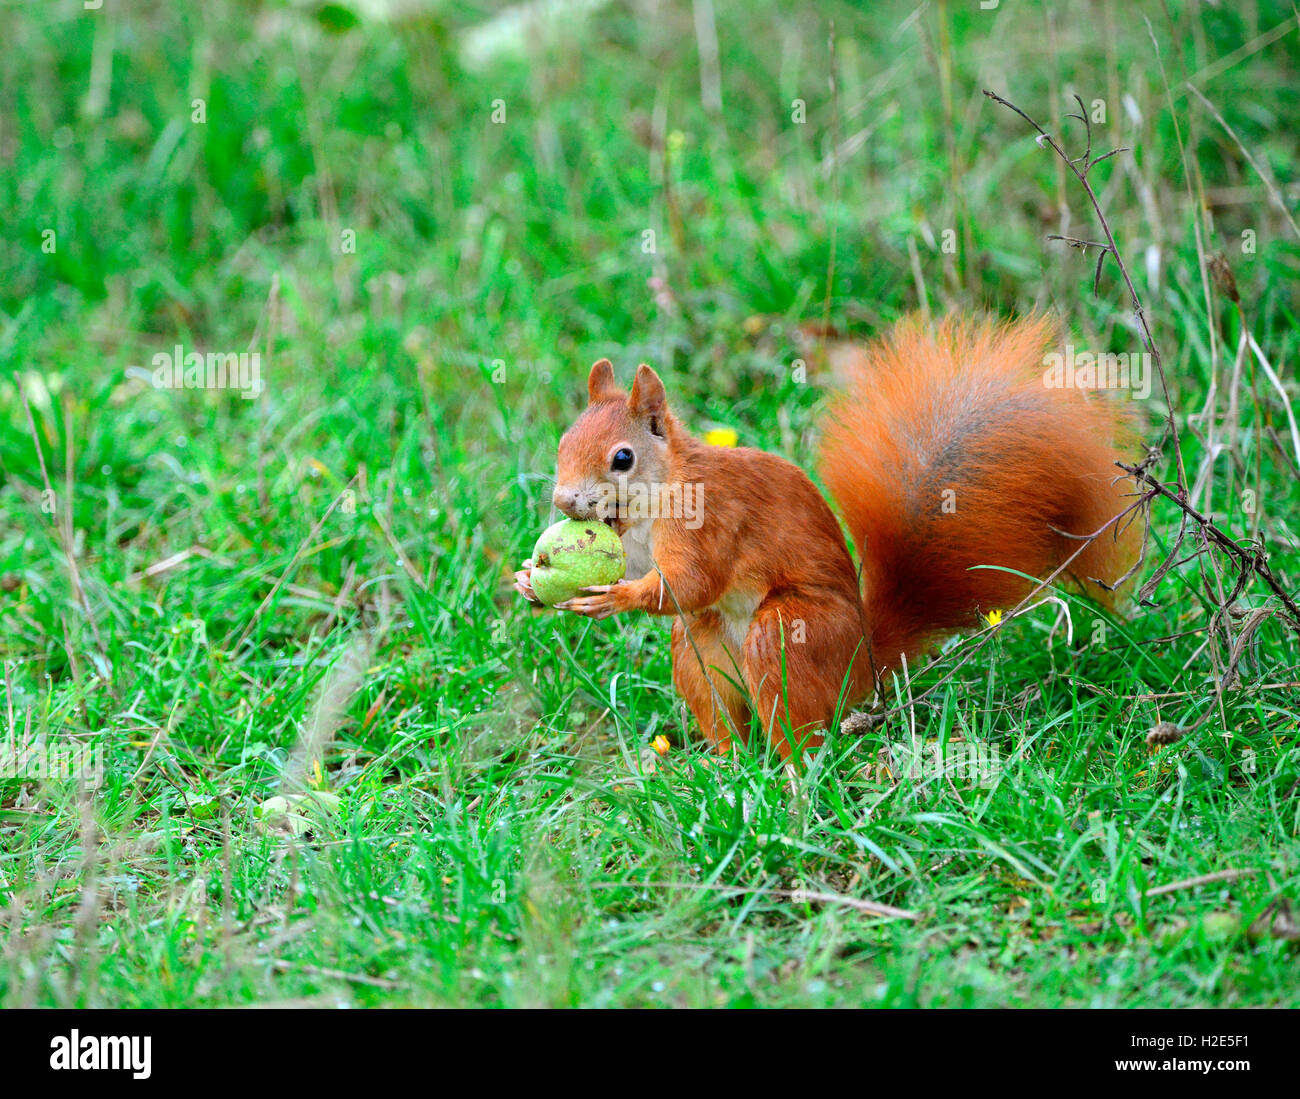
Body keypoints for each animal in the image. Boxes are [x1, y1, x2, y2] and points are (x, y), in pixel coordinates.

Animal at [514, 314, 1141, 759]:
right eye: (564, 440)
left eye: (622, 458)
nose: (564, 501)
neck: (649, 502)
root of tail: (862, 661)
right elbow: (654, 576)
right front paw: (527, 579)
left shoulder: (712, 520)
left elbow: (691, 583)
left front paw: (614, 598)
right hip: (701, 652)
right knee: (721, 703)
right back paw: (723, 766)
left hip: (791, 634)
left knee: (801, 727)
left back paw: (793, 778)